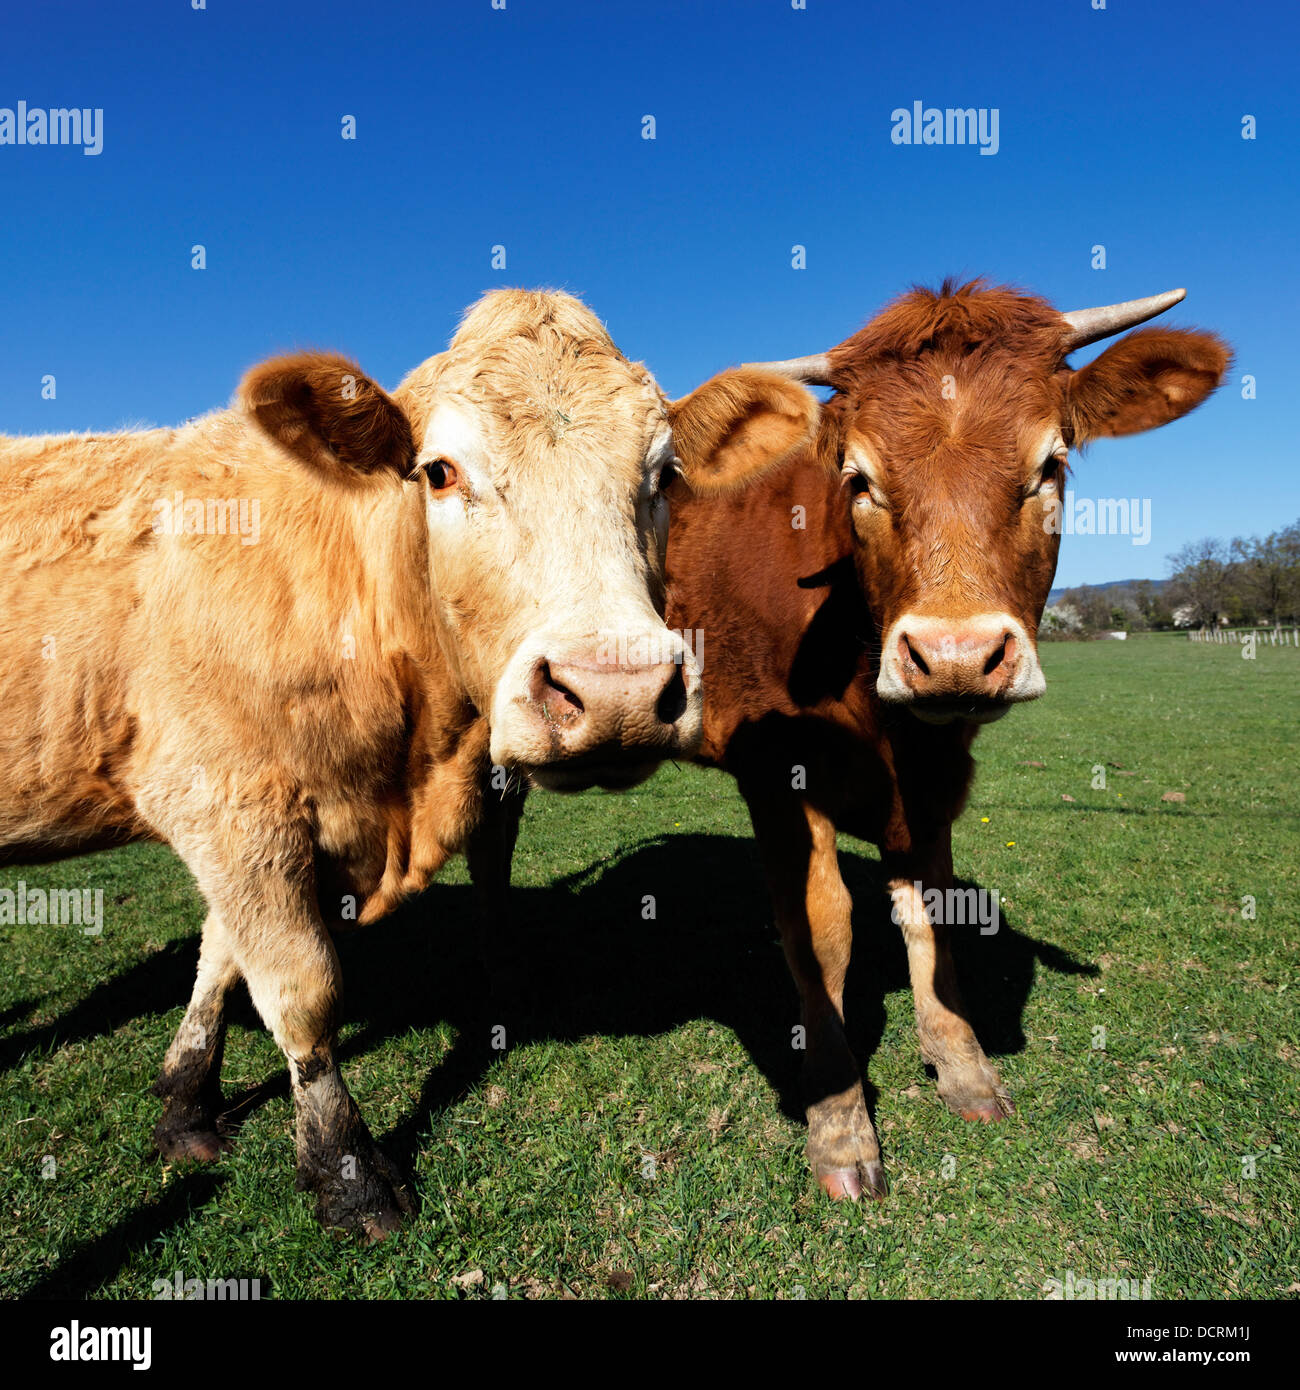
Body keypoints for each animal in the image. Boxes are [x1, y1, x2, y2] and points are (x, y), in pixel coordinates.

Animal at [0, 289, 818, 1238]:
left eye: (664, 476)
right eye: (439, 472)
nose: (615, 691)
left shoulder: (250, 818)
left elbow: (220, 958)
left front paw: (184, 1105)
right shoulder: (224, 799)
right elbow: (301, 987)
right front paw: (345, 1171)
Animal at [473, 280, 1229, 1203]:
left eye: (1050, 465)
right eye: (858, 479)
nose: (954, 654)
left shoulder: (939, 777)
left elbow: (931, 910)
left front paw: (961, 1062)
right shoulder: (775, 773)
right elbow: (822, 927)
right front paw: (839, 1122)